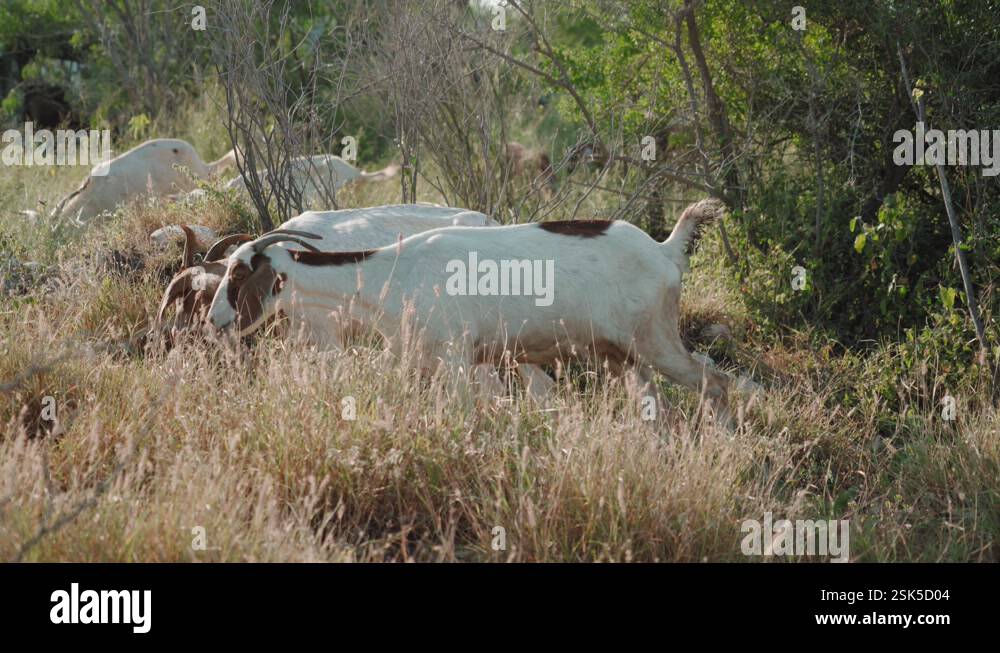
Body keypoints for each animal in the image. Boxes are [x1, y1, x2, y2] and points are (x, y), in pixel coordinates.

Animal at [206, 199, 731, 422]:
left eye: (239, 273)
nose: (215, 321)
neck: (393, 272)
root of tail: (665, 250)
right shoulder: (411, 357)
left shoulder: (458, 359)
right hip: (623, 356)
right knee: (655, 408)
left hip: (656, 342)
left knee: (716, 382)